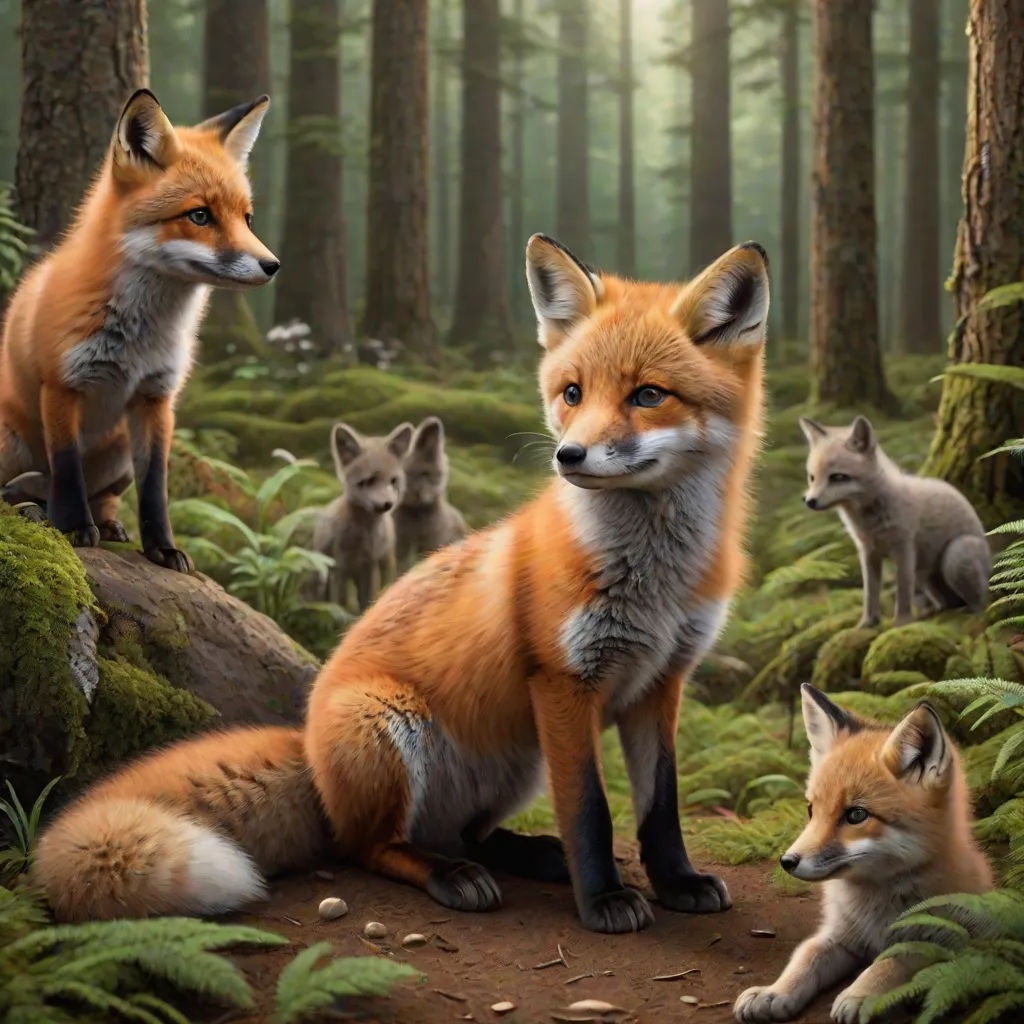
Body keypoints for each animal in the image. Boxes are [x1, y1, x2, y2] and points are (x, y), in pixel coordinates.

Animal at [0, 89, 278, 572]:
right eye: (200, 216)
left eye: (246, 218)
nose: (272, 265)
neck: (140, 339)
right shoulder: (61, 386)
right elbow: (67, 469)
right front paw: (73, 528)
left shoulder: (156, 398)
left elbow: (155, 488)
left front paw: (162, 547)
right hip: (10, 440)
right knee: (22, 490)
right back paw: (37, 510)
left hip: (117, 458)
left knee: (98, 495)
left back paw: (104, 521)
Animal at [312, 422, 413, 611]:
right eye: (368, 480)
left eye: (393, 481)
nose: (388, 504)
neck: (361, 541)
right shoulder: (340, 568)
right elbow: (338, 603)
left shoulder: (369, 567)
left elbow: (367, 603)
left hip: (385, 565)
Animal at [734, 684, 992, 1024]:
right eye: (811, 810)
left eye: (856, 815)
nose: (787, 861)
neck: (876, 906)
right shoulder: (840, 936)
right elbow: (805, 957)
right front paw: (773, 992)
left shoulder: (953, 940)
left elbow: (894, 959)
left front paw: (860, 993)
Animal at [800, 415, 990, 628]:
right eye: (812, 478)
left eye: (838, 477)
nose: (809, 501)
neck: (870, 521)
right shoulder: (868, 552)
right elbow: (870, 594)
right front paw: (867, 624)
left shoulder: (904, 547)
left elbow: (902, 591)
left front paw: (902, 622)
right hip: (924, 577)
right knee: (947, 603)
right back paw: (938, 611)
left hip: (955, 555)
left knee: (981, 602)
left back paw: (973, 612)